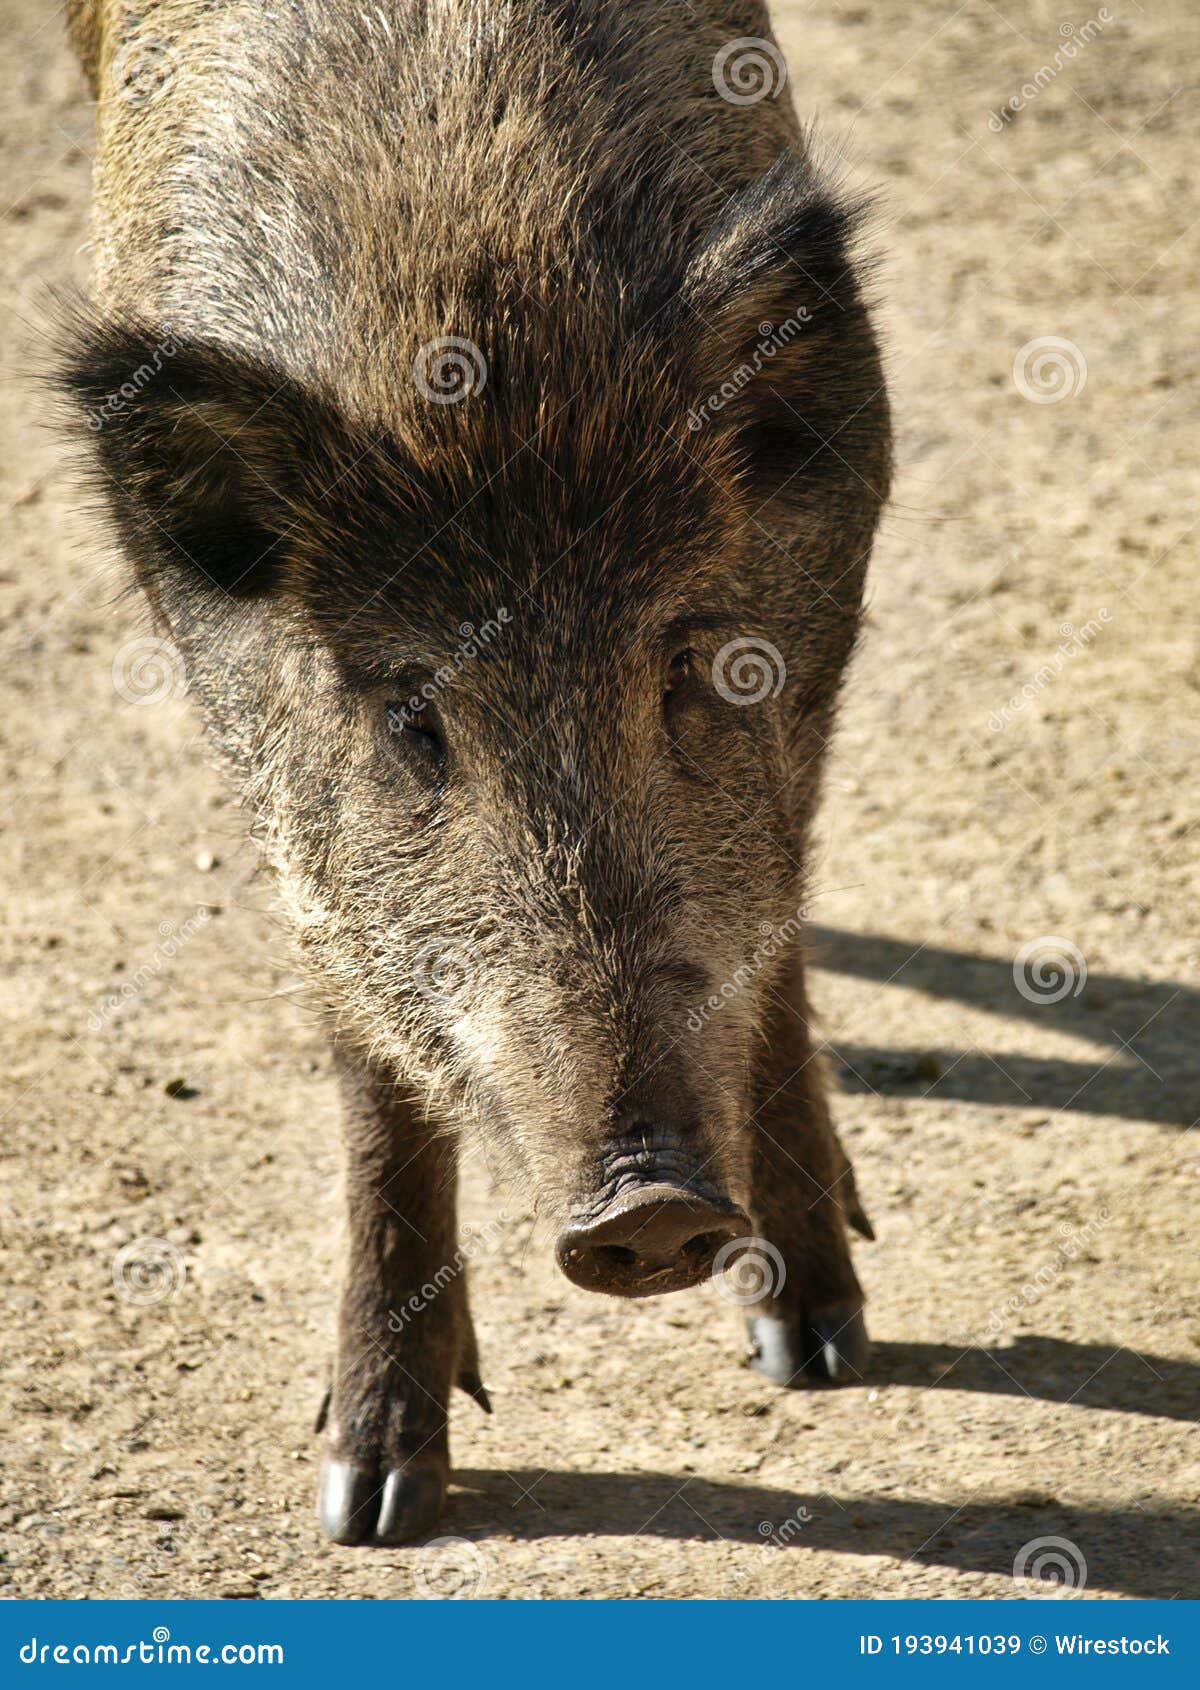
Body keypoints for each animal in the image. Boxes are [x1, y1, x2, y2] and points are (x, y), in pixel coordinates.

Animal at [58, 0, 891, 1544]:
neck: (479, 340)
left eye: (693, 664)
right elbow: (369, 1072)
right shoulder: (281, 797)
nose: (649, 1206)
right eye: (409, 718)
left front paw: (818, 1351)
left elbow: (766, 922)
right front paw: (369, 1502)